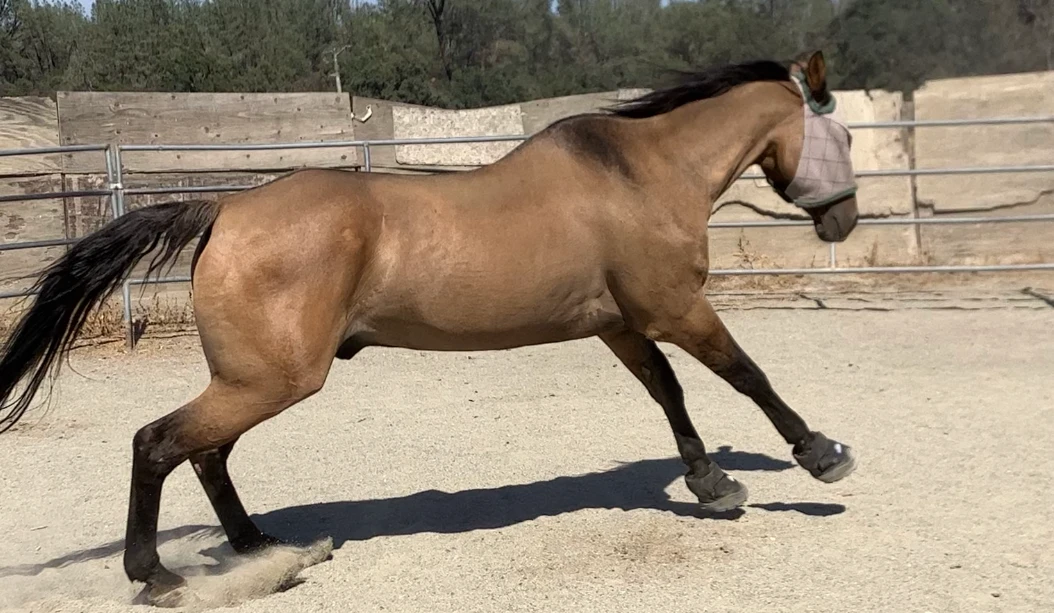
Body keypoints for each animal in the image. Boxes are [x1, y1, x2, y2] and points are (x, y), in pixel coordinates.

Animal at [0, 50, 860, 606]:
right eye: (848, 136)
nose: (846, 222)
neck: (640, 175)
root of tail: (225, 209)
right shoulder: (675, 309)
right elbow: (746, 374)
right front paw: (821, 457)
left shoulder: (622, 324)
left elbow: (669, 392)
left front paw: (711, 481)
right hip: (272, 377)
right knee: (158, 442)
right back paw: (158, 575)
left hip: (253, 377)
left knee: (205, 452)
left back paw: (258, 548)